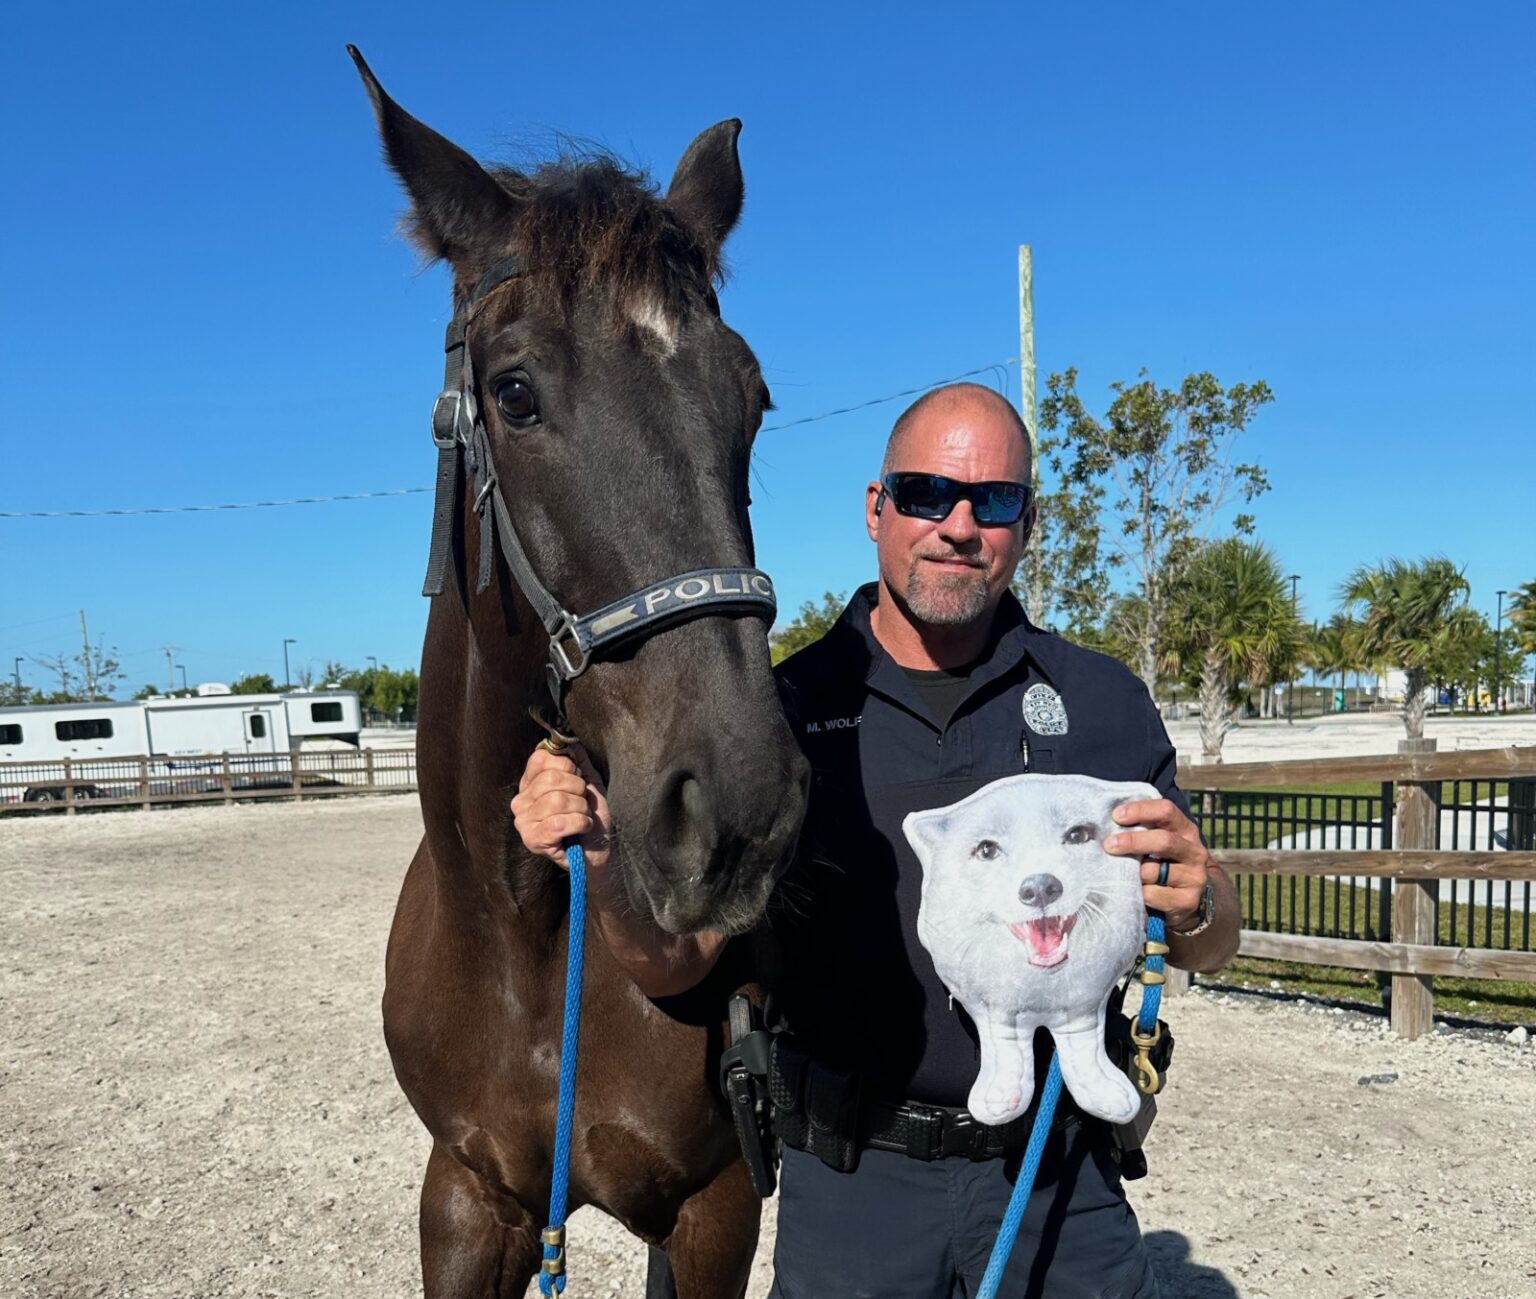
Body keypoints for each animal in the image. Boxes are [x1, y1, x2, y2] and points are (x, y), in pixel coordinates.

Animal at [349, 49, 810, 1299]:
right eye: (514, 391)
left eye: (751, 397)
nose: (738, 811)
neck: (526, 939)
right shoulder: (471, 1196)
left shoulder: (713, 1207)